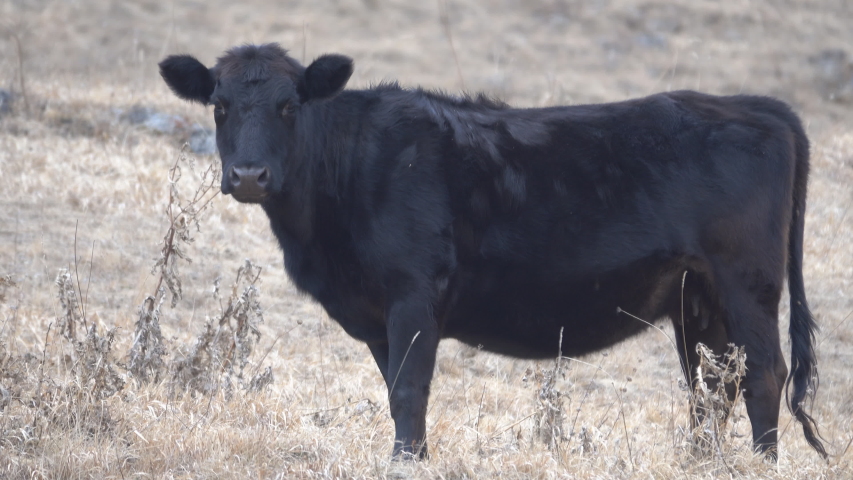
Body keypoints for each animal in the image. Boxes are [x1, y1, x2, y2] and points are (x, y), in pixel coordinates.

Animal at [159, 43, 826, 460]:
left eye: (289, 106)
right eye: (219, 106)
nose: (249, 175)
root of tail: (756, 105)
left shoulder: (413, 294)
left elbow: (410, 391)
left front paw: (406, 463)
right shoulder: (374, 314)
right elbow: (396, 391)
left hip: (746, 283)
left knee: (762, 376)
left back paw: (760, 464)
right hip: (697, 300)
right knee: (712, 387)